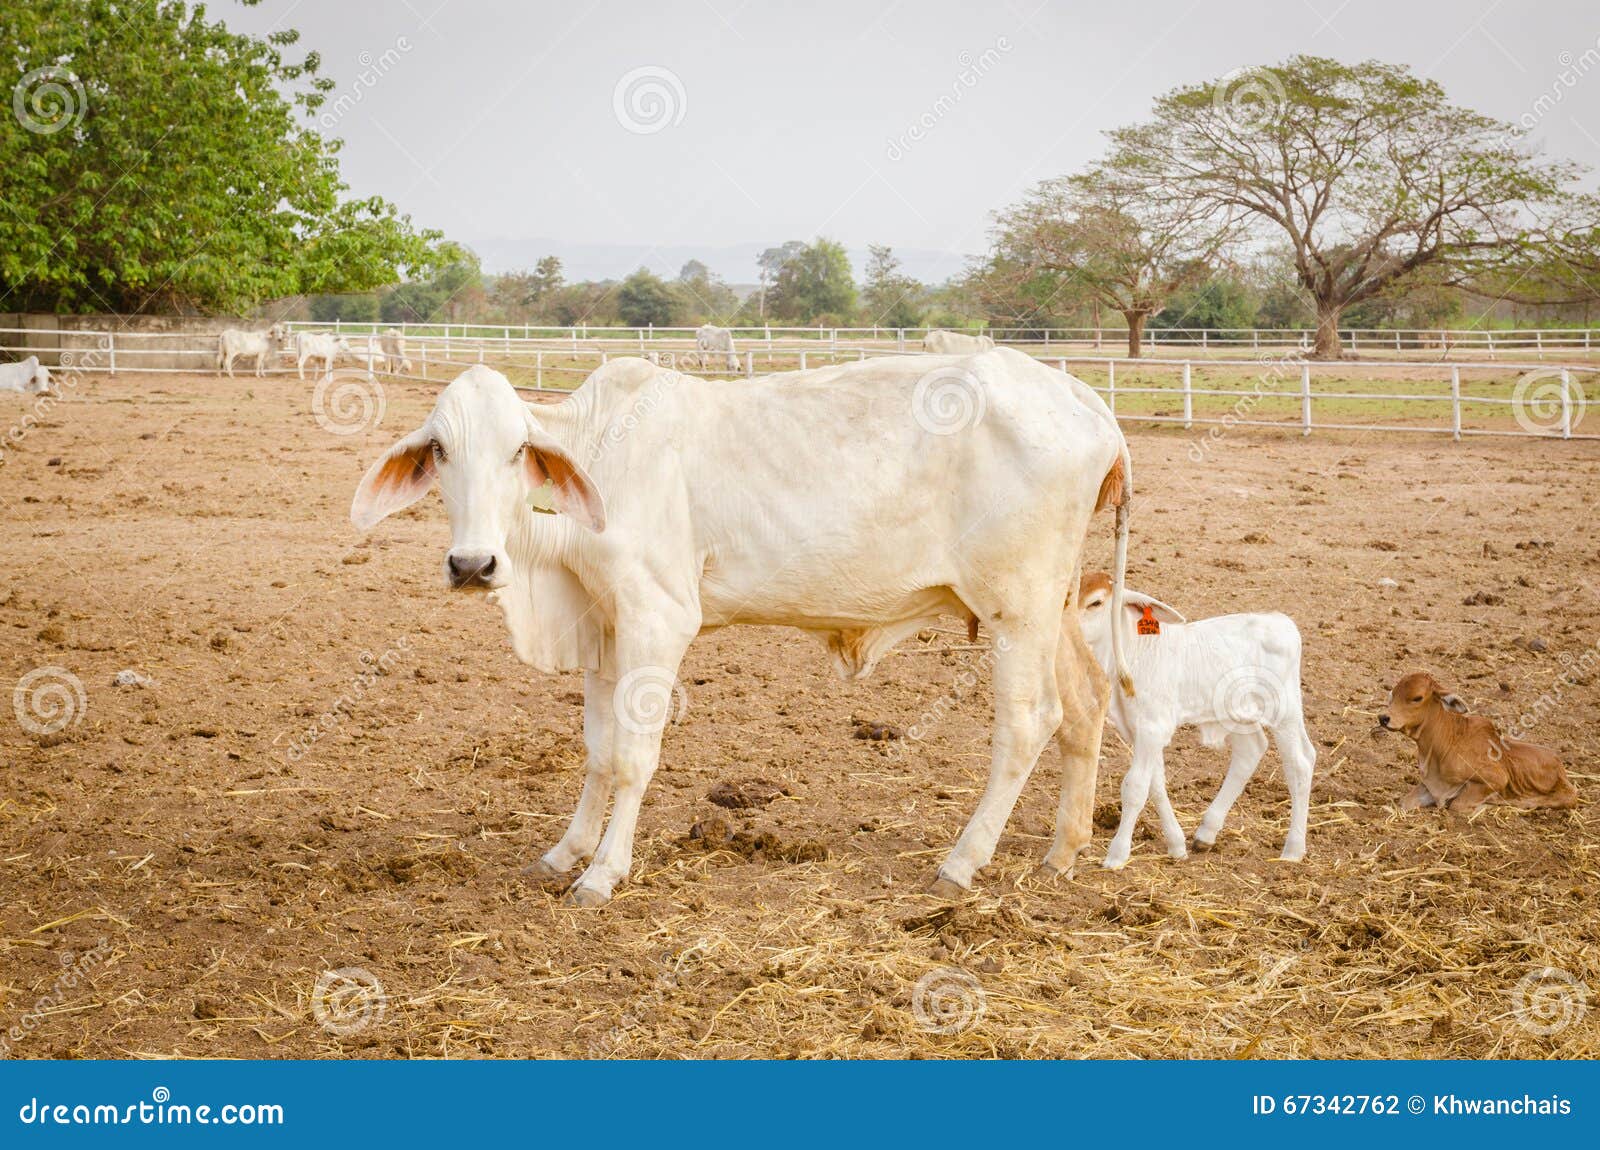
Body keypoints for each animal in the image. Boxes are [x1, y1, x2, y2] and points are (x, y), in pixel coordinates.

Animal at [351, 350, 1135, 907]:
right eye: (440, 450)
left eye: (518, 449)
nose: (473, 564)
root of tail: (1087, 403)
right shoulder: (604, 625)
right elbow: (599, 752)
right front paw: (563, 853)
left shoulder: (657, 617)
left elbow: (633, 756)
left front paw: (601, 874)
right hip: (1053, 606)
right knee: (1085, 704)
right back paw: (1062, 853)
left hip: (1017, 609)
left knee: (1030, 723)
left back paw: (961, 863)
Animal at [1075, 572, 1315, 867]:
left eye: (1095, 602)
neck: (1132, 652)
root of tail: (1281, 621)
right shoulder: (1139, 731)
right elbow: (1156, 784)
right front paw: (1176, 845)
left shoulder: (1153, 728)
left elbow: (1135, 787)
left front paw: (1117, 855)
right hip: (1238, 713)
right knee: (1250, 752)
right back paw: (1206, 833)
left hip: (1285, 711)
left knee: (1300, 763)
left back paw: (1293, 849)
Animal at [1380, 672, 1578, 812]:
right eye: (1393, 695)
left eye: (1417, 698)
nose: (1383, 718)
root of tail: (1559, 765)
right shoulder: (1430, 786)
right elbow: (1404, 802)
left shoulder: (1496, 778)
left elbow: (1458, 805)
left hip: (1562, 793)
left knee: (1569, 797)